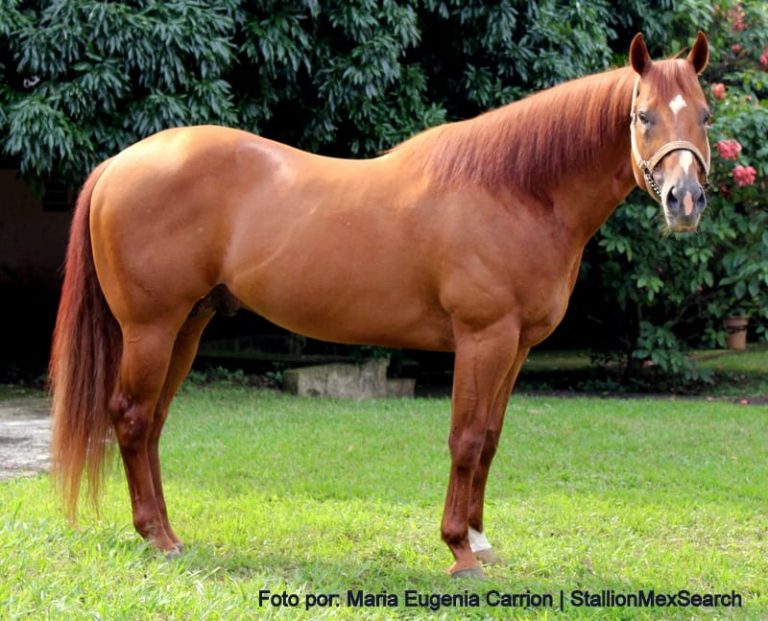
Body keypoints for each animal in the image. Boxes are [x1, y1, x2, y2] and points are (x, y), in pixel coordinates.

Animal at [50, 32, 711, 578]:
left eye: (704, 114)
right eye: (643, 115)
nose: (685, 200)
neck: (515, 192)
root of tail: (119, 163)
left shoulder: (516, 346)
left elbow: (490, 438)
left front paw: (480, 539)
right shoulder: (483, 338)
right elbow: (465, 438)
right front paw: (459, 551)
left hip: (189, 323)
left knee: (154, 422)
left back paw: (167, 533)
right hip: (151, 327)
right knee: (132, 417)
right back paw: (156, 538)